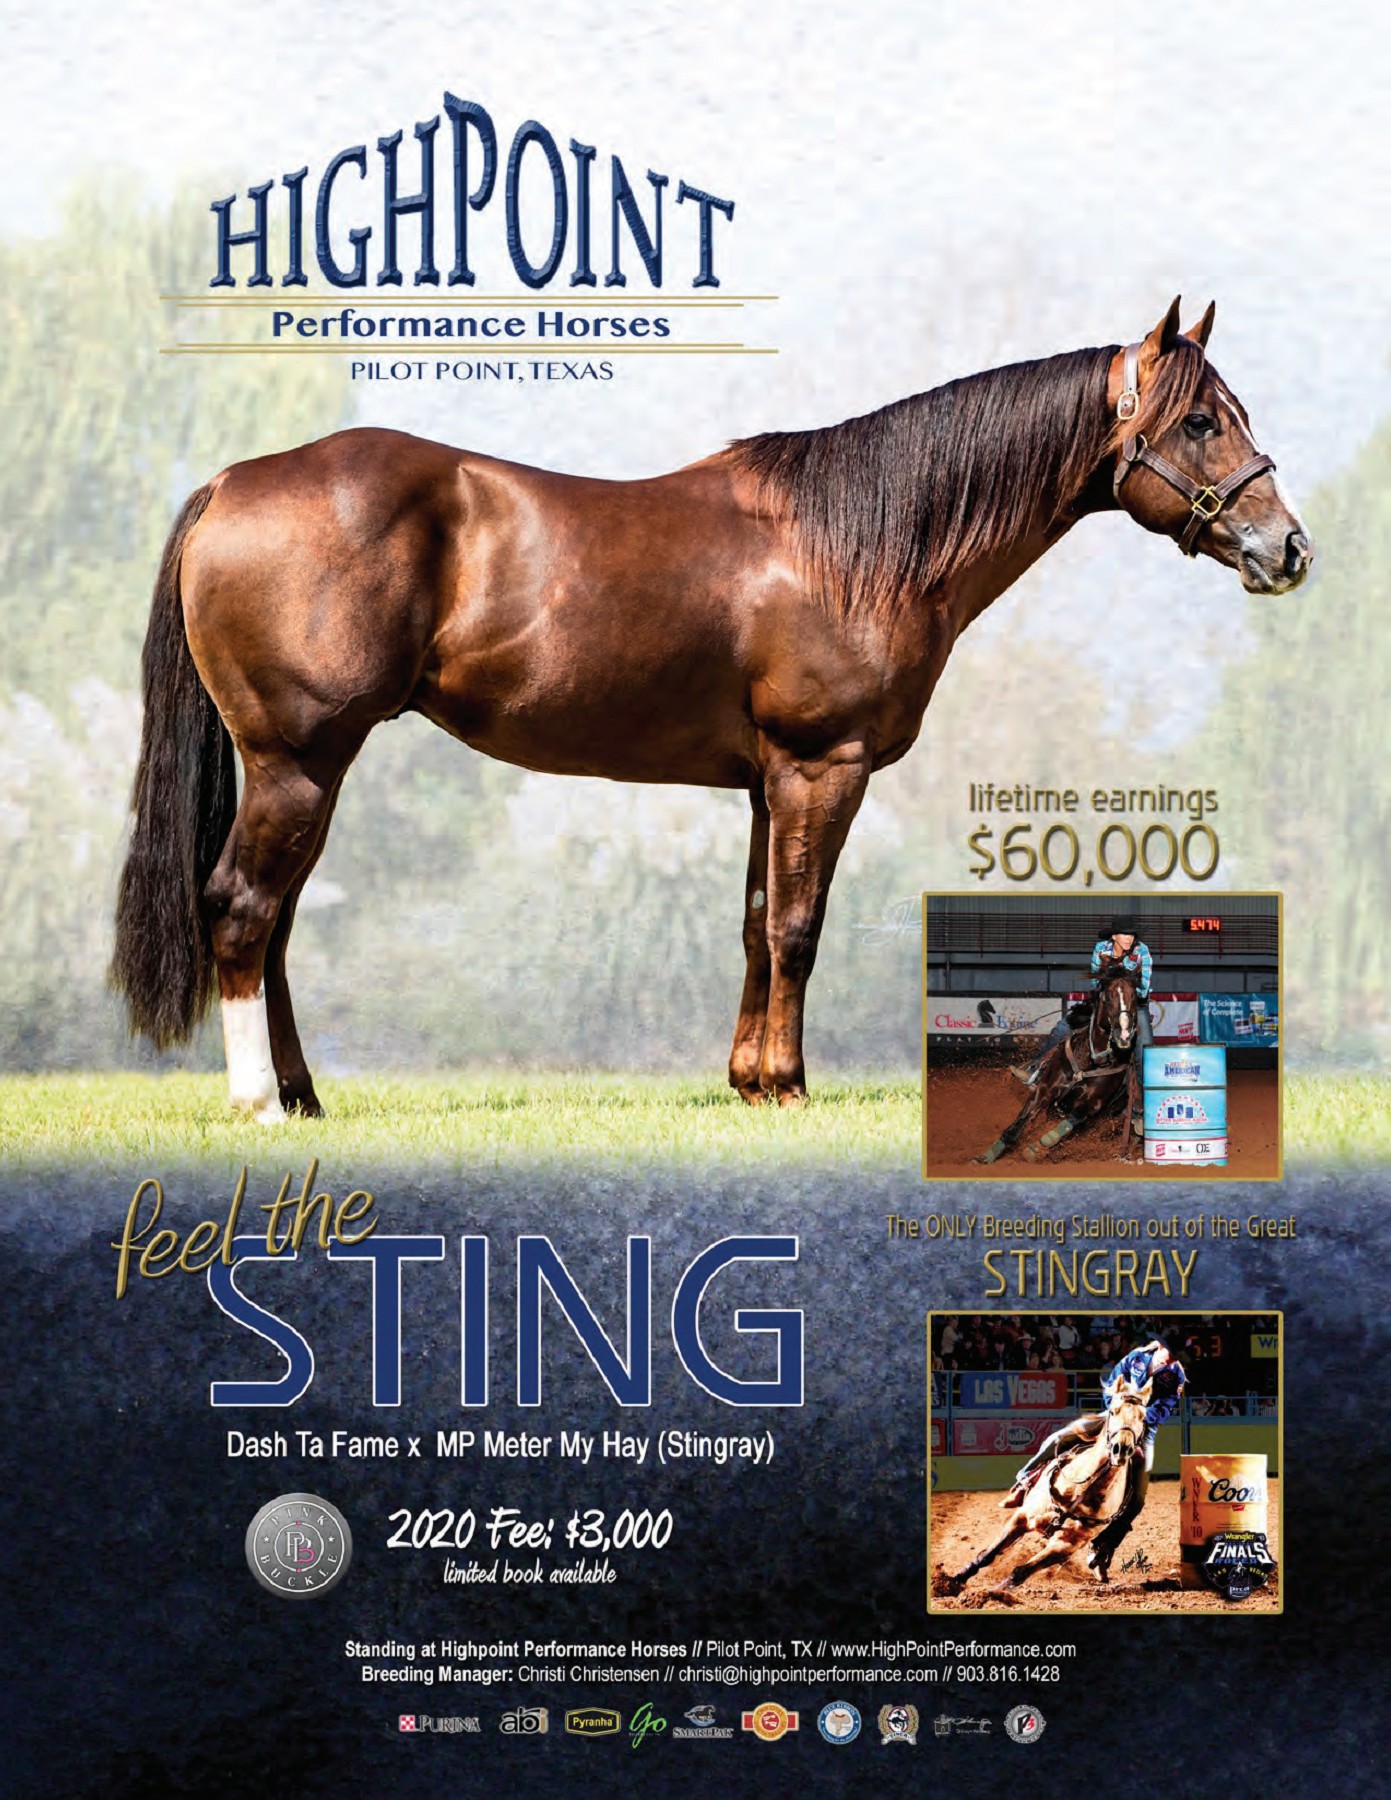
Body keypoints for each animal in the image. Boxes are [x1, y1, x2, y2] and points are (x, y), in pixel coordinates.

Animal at [110, 298, 1311, 1121]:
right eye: (1198, 422)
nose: (1286, 548)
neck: (857, 545)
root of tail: (233, 484)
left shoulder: (763, 784)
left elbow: (751, 923)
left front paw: (747, 1082)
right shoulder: (820, 768)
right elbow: (797, 928)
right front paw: (788, 1083)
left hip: (306, 770)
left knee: (274, 924)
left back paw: (304, 1097)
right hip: (298, 761)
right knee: (241, 910)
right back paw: (260, 1105)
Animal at [940, 1376, 1152, 1593]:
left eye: (1143, 1418)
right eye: (1113, 1411)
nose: (1122, 1449)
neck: (1080, 1490)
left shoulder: (1064, 1544)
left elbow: (1021, 1572)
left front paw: (994, 1592)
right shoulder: (1021, 1518)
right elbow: (987, 1555)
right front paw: (952, 1581)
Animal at [974, 964, 1142, 1164]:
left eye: (1134, 997)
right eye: (1108, 996)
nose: (1124, 1035)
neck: (1090, 1062)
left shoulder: (1092, 1105)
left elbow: (1065, 1126)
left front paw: (1036, 1147)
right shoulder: (1045, 1089)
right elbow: (1018, 1125)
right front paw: (986, 1156)